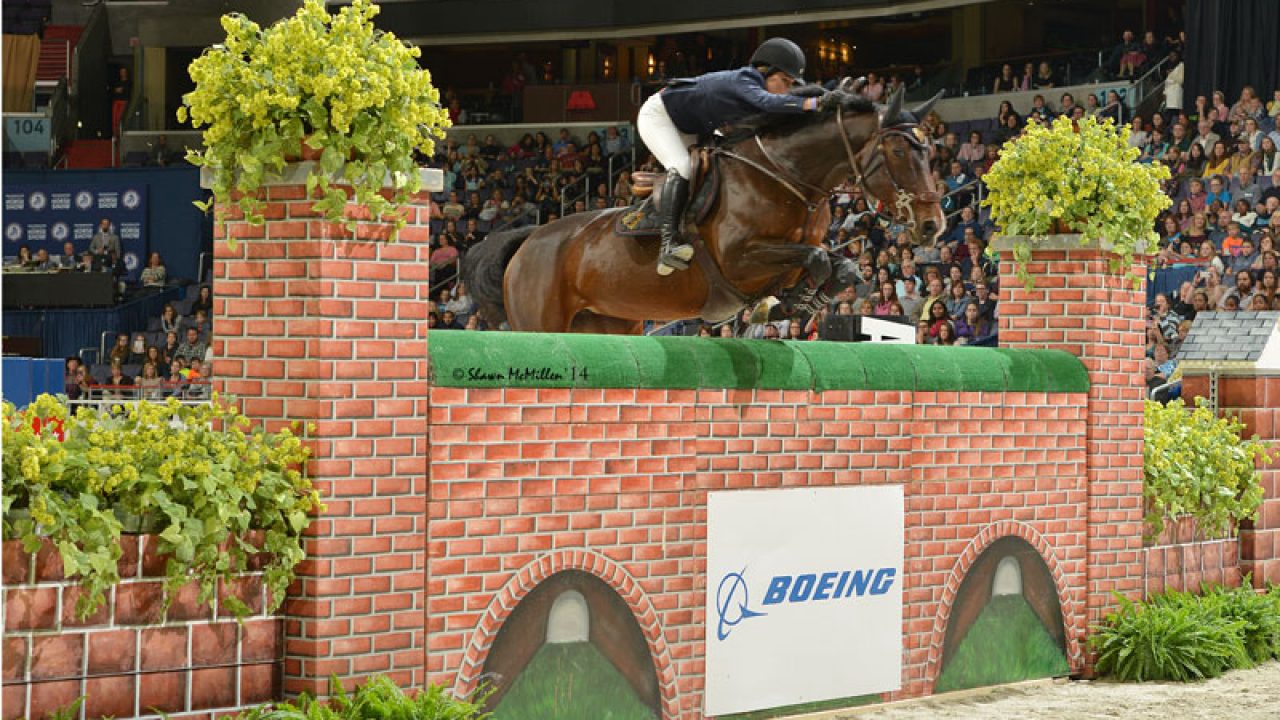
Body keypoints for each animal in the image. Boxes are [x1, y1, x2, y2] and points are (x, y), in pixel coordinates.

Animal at [465, 85, 945, 334]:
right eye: (899, 150)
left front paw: (793, 305)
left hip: (609, 323)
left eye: (931, 151)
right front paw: (785, 304)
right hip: (540, 323)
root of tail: (529, 238)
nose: (932, 226)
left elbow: (841, 267)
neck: (786, 177)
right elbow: (818, 258)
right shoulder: (739, 260)